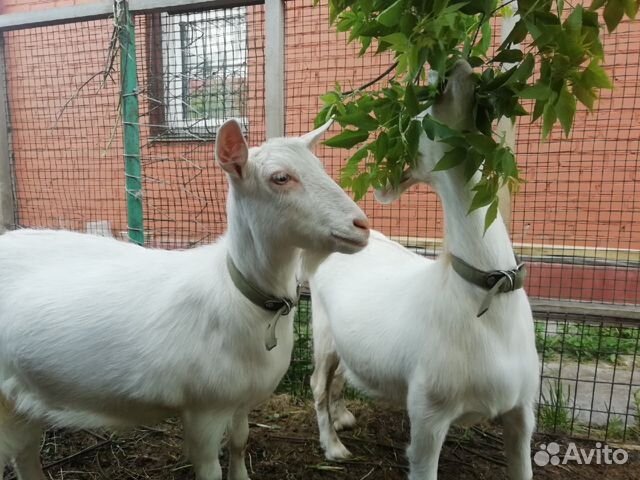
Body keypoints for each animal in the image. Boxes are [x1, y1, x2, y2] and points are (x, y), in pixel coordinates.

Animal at [0, 119, 370, 480]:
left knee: (25, 457)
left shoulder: (240, 399)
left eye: (319, 166)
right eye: (280, 177)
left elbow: (240, 442)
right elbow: (209, 468)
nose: (361, 225)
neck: (240, 295)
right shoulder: (203, 410)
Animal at [306, 61, 539, 480]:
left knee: (342, 373)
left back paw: (343, 416)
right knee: (318, 380)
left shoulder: (522, 409)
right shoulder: (428, 411)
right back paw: (332, 446)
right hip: (323, 329)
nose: (452, 68)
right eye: (418, 121)